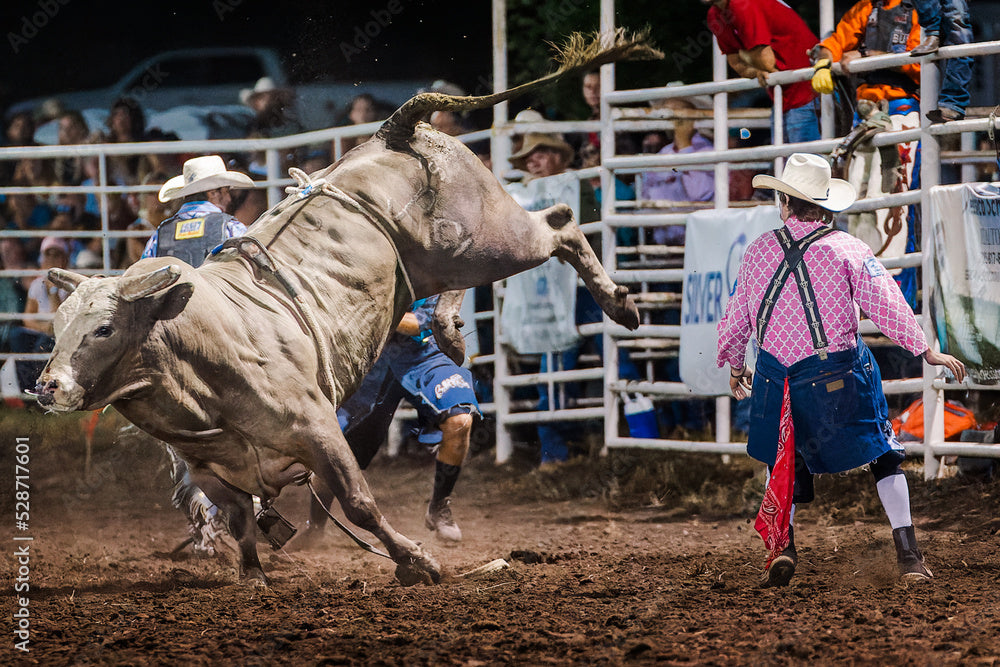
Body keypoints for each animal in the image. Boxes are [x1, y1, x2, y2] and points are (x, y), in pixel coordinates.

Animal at [34, 31, 661, 586]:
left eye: (104, 328)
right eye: (56, 330)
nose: (47, 387)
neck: (198, 363)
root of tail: (393, 130)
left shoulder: (318, 428)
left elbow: (358, 501)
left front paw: (417, 562)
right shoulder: (212, 472)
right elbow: (239, 522)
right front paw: (253, 575)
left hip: (489, 238)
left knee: (558, 222)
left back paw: (620, 304)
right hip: (457, 257)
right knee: (486, 266)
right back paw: (451, 329)